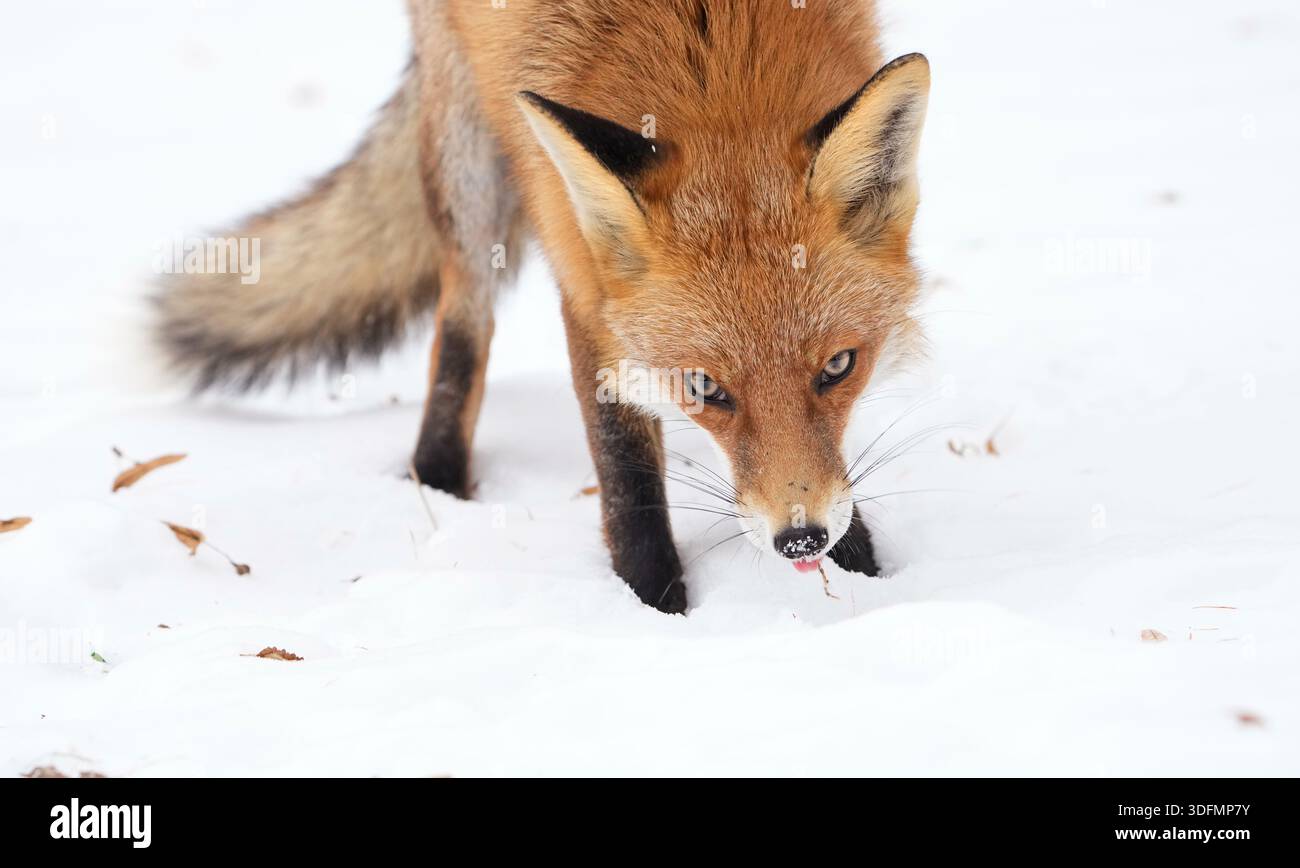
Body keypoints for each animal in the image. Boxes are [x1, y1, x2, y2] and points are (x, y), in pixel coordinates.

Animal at [154, 0, 930, 615]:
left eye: (839, 367)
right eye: (703, 388)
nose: (800, 539)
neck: (717, 63)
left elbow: (836, 473)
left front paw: (862, 576)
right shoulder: (585, 280)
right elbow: (625, 478)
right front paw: (656, 612)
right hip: (468, 164)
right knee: (461, 329)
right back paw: (439, 484)